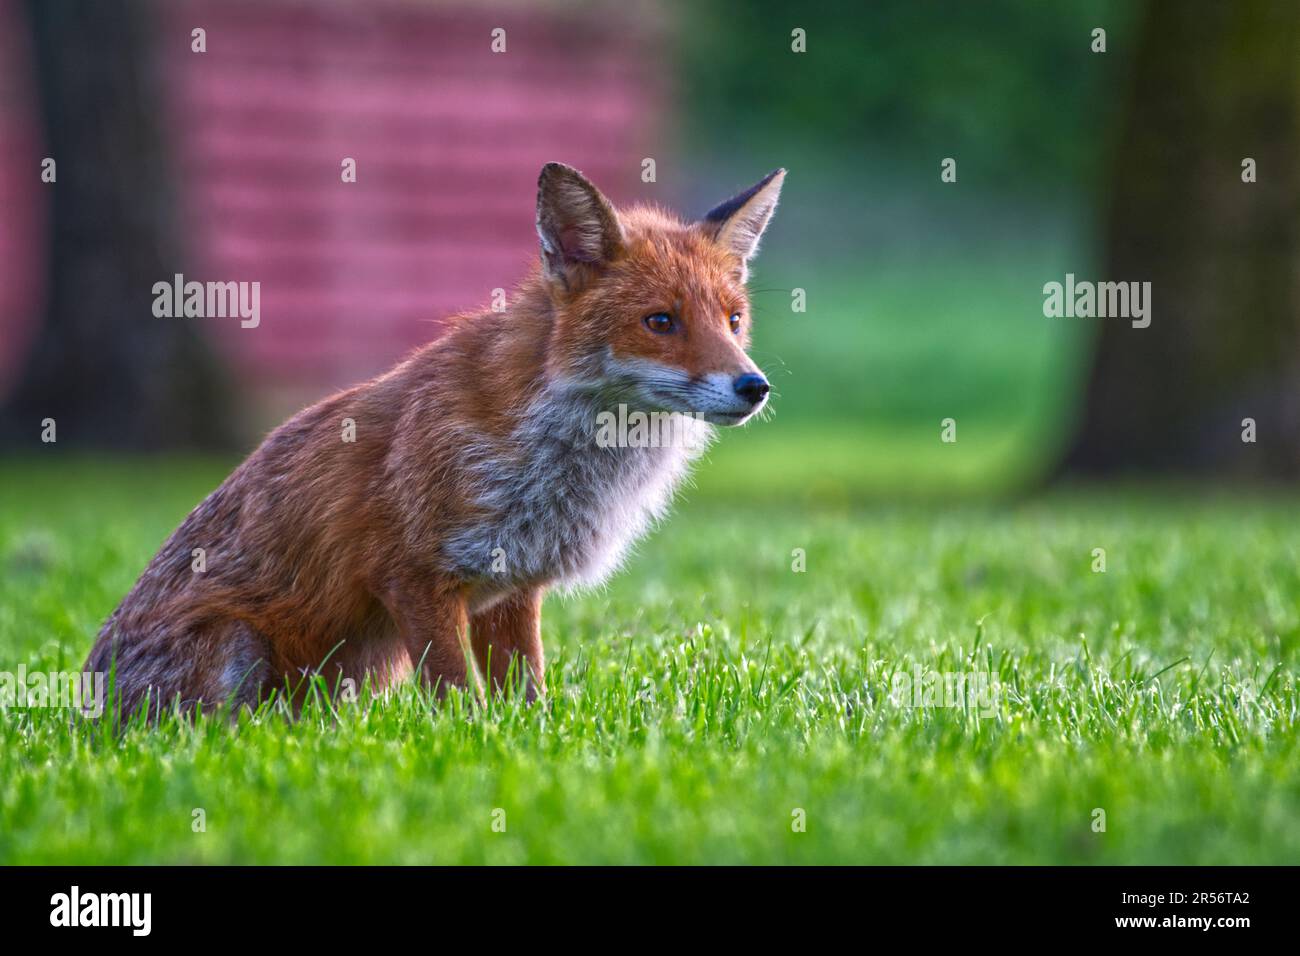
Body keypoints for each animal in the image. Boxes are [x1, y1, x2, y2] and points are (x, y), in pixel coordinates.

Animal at [85, 162, 785, 717]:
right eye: (660, 322)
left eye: (733, 320)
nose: (754, 386)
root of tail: (84, 712)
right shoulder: (412, 576)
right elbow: (455, 695)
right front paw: (473, 740)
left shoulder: (514, 586)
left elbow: (526, 692)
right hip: (239, 648)